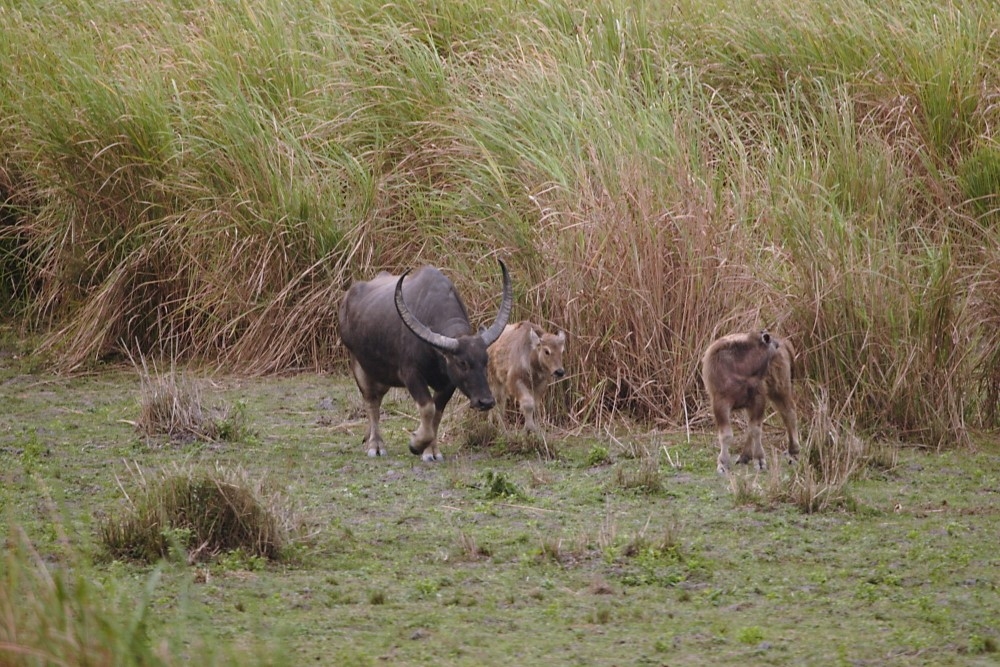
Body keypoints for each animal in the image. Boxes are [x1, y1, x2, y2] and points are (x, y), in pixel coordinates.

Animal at [338, 260, 513, 461]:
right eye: (462, 363)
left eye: (485, 360)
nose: (486, 402)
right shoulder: (411, 375)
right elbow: (428, 408)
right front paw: (416, 444)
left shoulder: (448, 383)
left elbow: (437, 413)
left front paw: (432, 450)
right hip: (359, 364)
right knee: (370, 400)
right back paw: (375, 445)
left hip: (382, 374)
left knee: (378, 397)